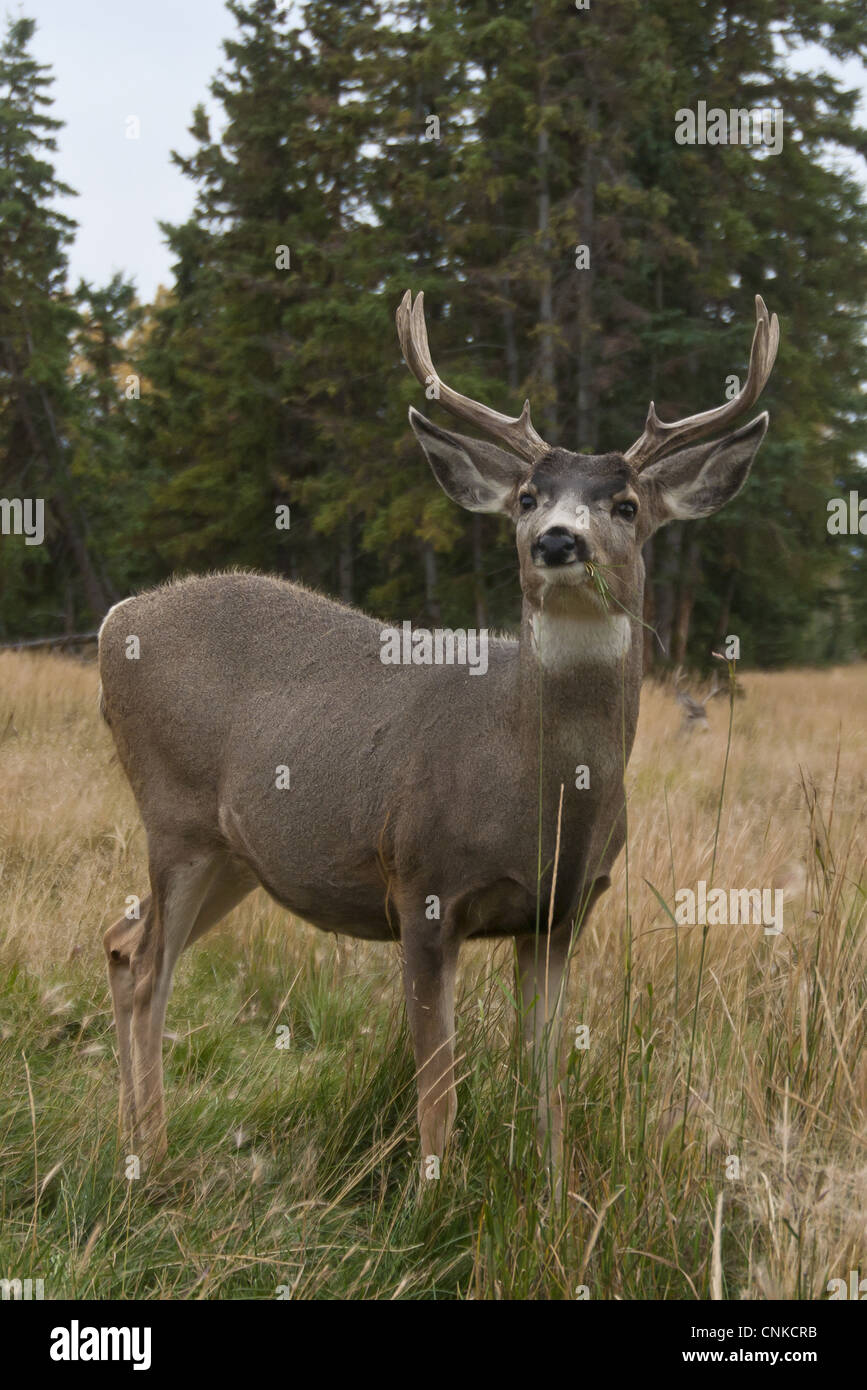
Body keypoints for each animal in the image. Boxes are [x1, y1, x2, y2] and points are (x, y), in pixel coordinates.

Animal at [98, 290, 779, 1176]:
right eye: (526, 496)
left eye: (626, 505)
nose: (557, 540)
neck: (538, 793)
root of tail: (115, 620)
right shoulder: (418, 885)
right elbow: (438, 1090)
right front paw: (433, 1194)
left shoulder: (561, 914)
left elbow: (546, 1083)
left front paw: (549, 1190)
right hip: (173, 814)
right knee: (150, 970)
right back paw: (151, 1158)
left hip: (235, 852)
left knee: (122, 942)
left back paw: (137, 1142)